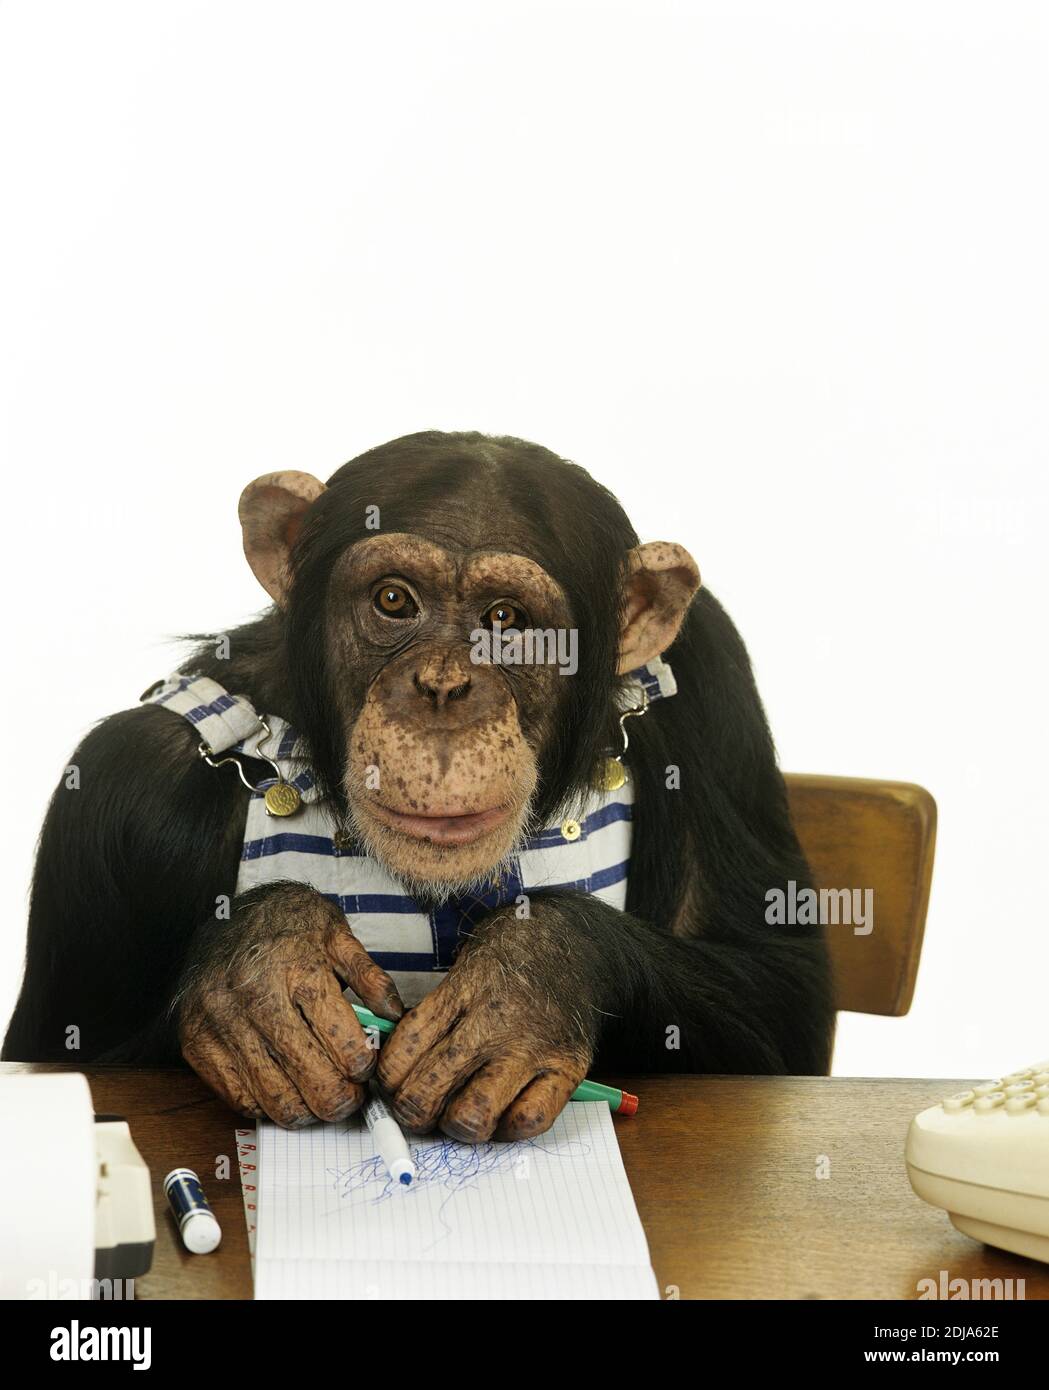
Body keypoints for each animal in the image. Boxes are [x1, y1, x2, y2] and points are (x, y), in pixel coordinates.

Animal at [3, 431, 834, 1141]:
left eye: (506, 620)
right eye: (394, 600)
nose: (440, 688)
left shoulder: (710, 682)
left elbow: (778, 993)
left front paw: (526, 982)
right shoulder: (123, 789)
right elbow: (58, 1052)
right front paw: (265, 966)